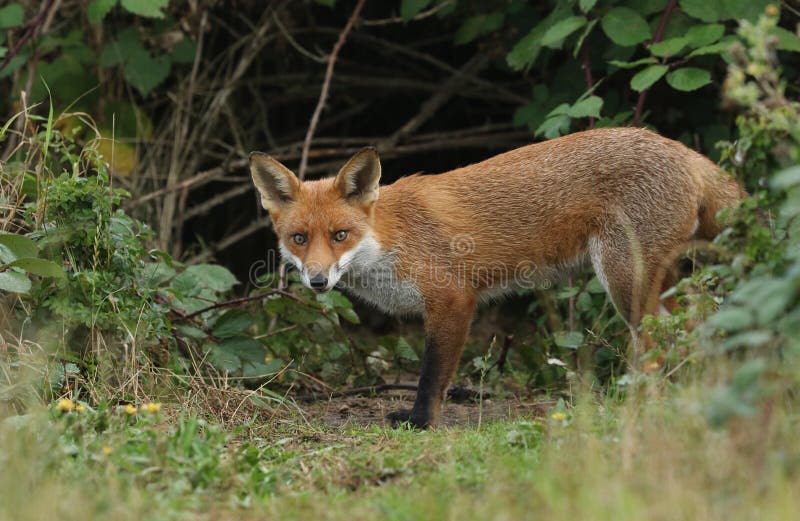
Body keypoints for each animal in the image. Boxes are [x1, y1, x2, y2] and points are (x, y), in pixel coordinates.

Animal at [249, 127, 744, 428]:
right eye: (298, 239)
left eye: (340, 235)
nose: (317, 282)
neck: (389, 238)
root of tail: (682, 150)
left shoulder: (452, 300)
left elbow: (431, 375)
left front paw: (420, 423)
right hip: (656, 283)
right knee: (692, 329)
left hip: (626, 281)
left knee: (662, 339)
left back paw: (644, 399)